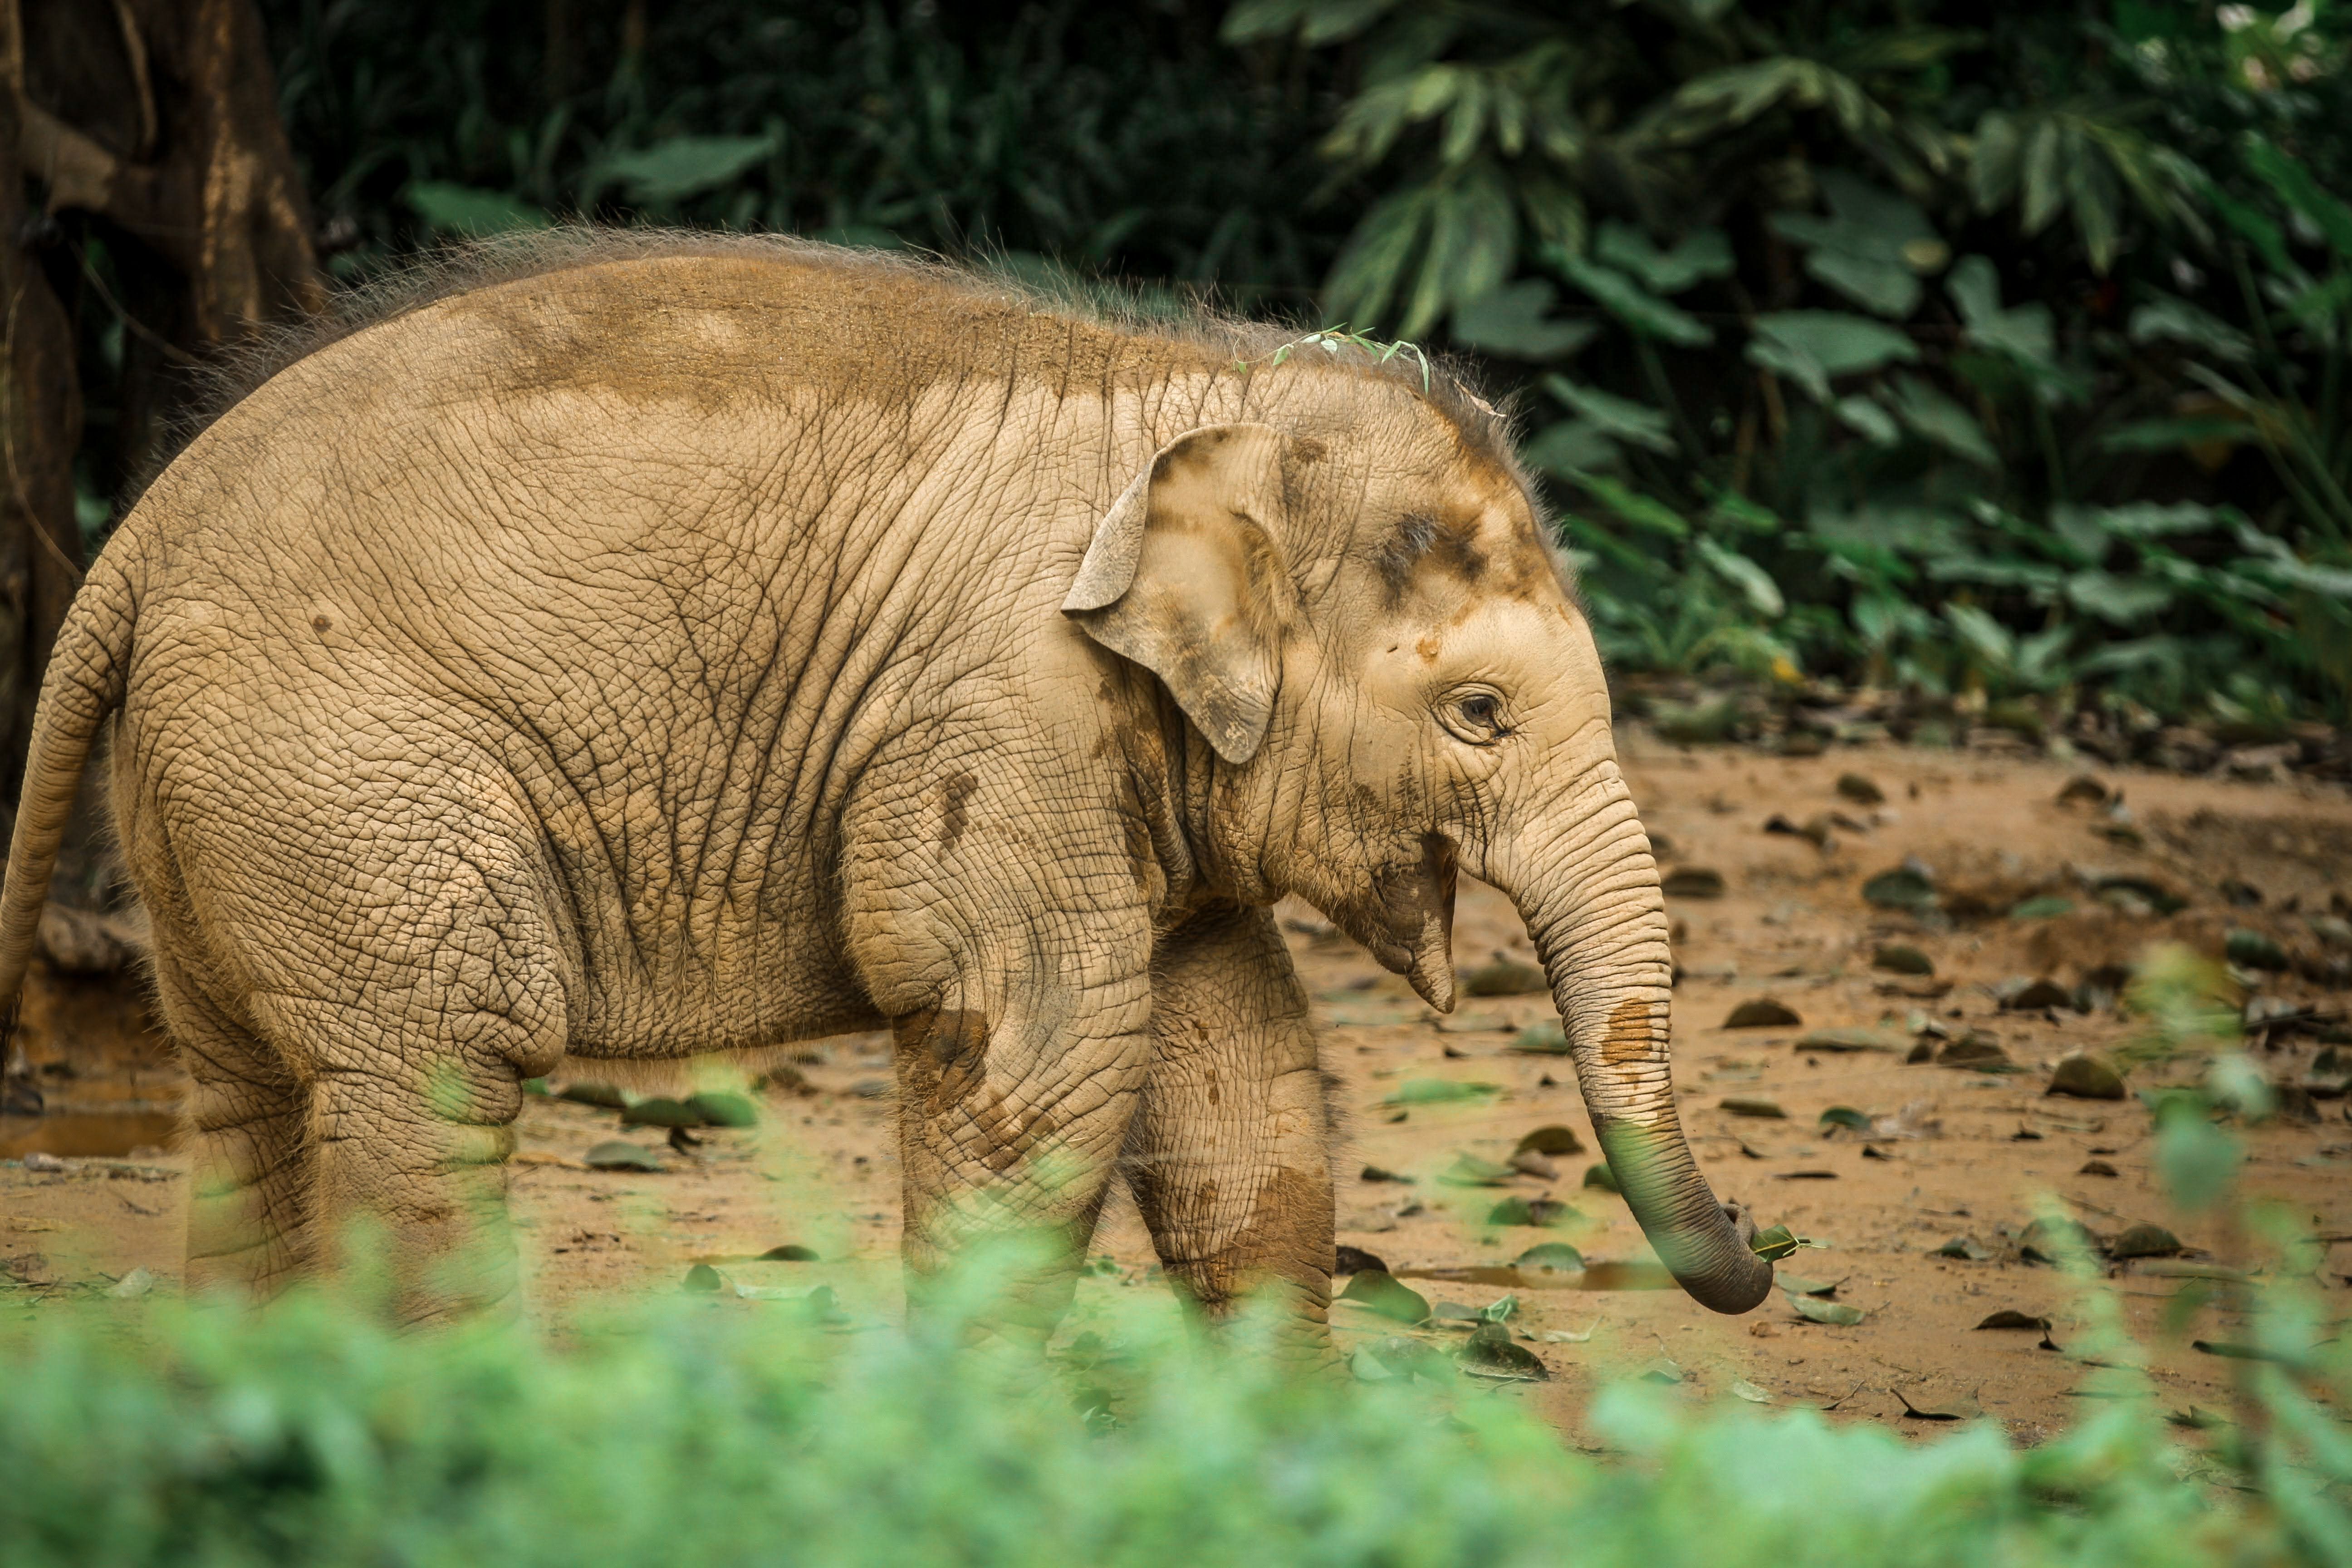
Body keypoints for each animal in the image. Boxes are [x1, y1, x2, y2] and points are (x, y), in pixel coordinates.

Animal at [0, 232, 1774, 1329]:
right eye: (1478, 711)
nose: (1761, 1253)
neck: (1201, 392)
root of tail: (135, 534)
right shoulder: (1002, 708)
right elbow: (1049, 1052)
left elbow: (1238, 1073)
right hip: (343, 770)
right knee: (435, 1076)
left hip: (228, 794)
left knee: (245, 1092)